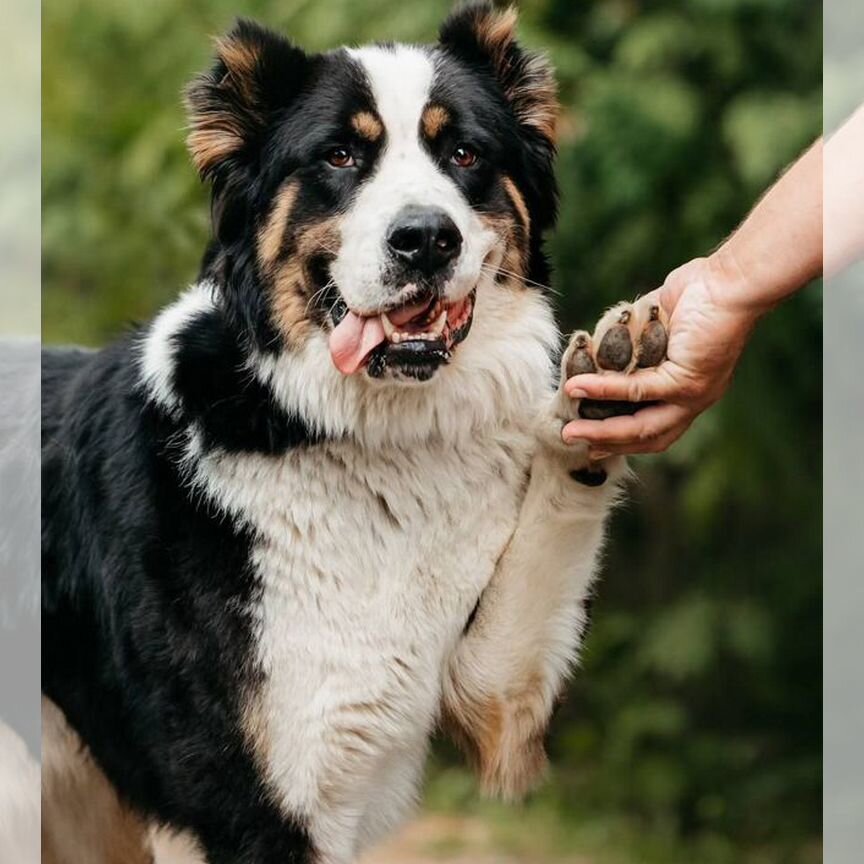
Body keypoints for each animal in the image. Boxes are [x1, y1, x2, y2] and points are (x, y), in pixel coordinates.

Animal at [40, 3, 668, 860]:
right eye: (339, 155)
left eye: (464, 153)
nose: (426, 238)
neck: (371, 443)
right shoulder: (242, 810)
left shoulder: (490, 691)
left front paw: (605, 392)